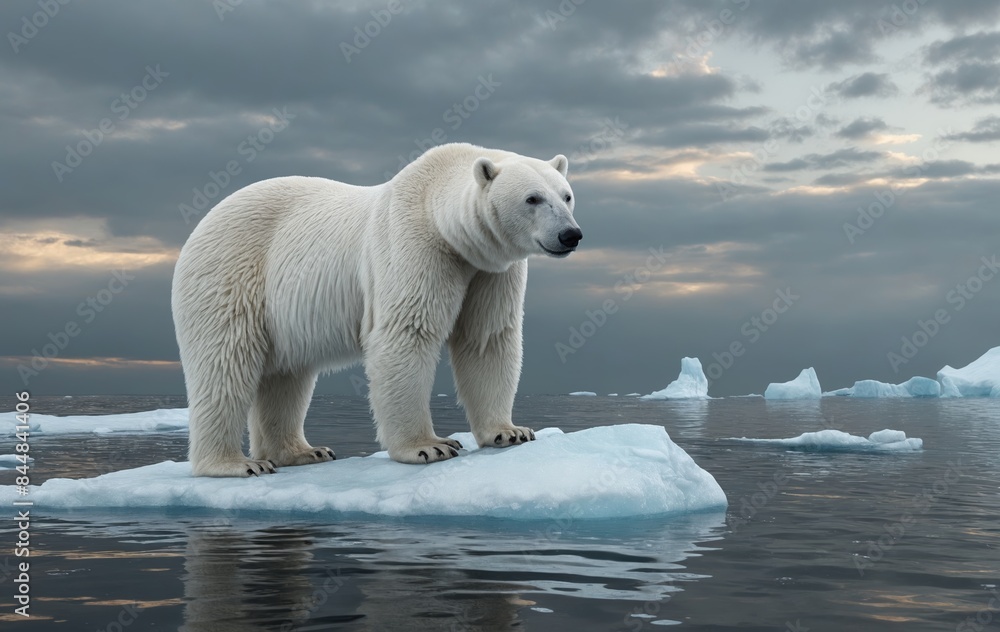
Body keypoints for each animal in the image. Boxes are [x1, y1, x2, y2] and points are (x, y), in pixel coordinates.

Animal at [171, 143, 582, 477]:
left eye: (566, 196)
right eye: (532, 198)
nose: (570, 235)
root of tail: (201, 225)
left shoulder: (489, 271)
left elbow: (487, 337)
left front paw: (510, 432)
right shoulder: (415, 246)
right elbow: (408, 332)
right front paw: (429, 446)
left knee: (286, 376)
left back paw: (303, 452)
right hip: (231, 274)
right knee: (226, 361)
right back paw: (236, 464)